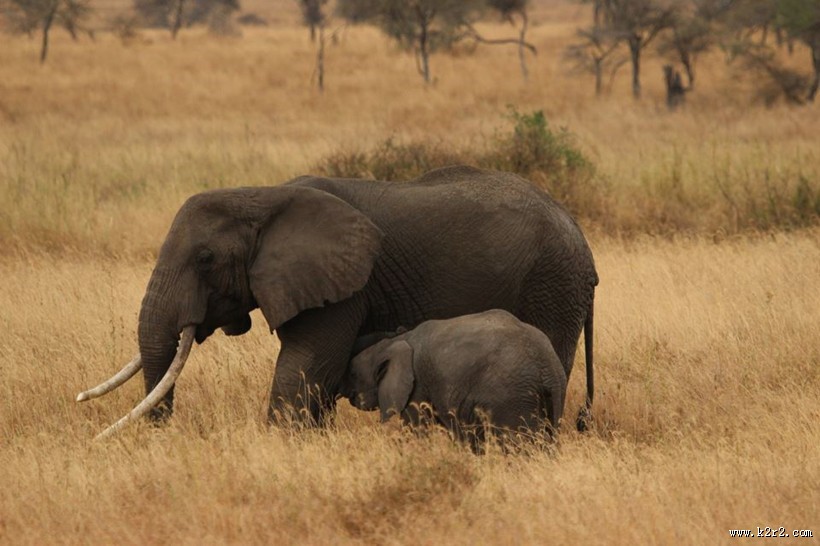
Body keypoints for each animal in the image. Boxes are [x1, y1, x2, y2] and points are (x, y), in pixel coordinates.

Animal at [340, 309, 568, 447]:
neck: (396, 340)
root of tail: (548, 366)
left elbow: (416, 428)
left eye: (352, 373)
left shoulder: (418, 386)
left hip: (511, 397)